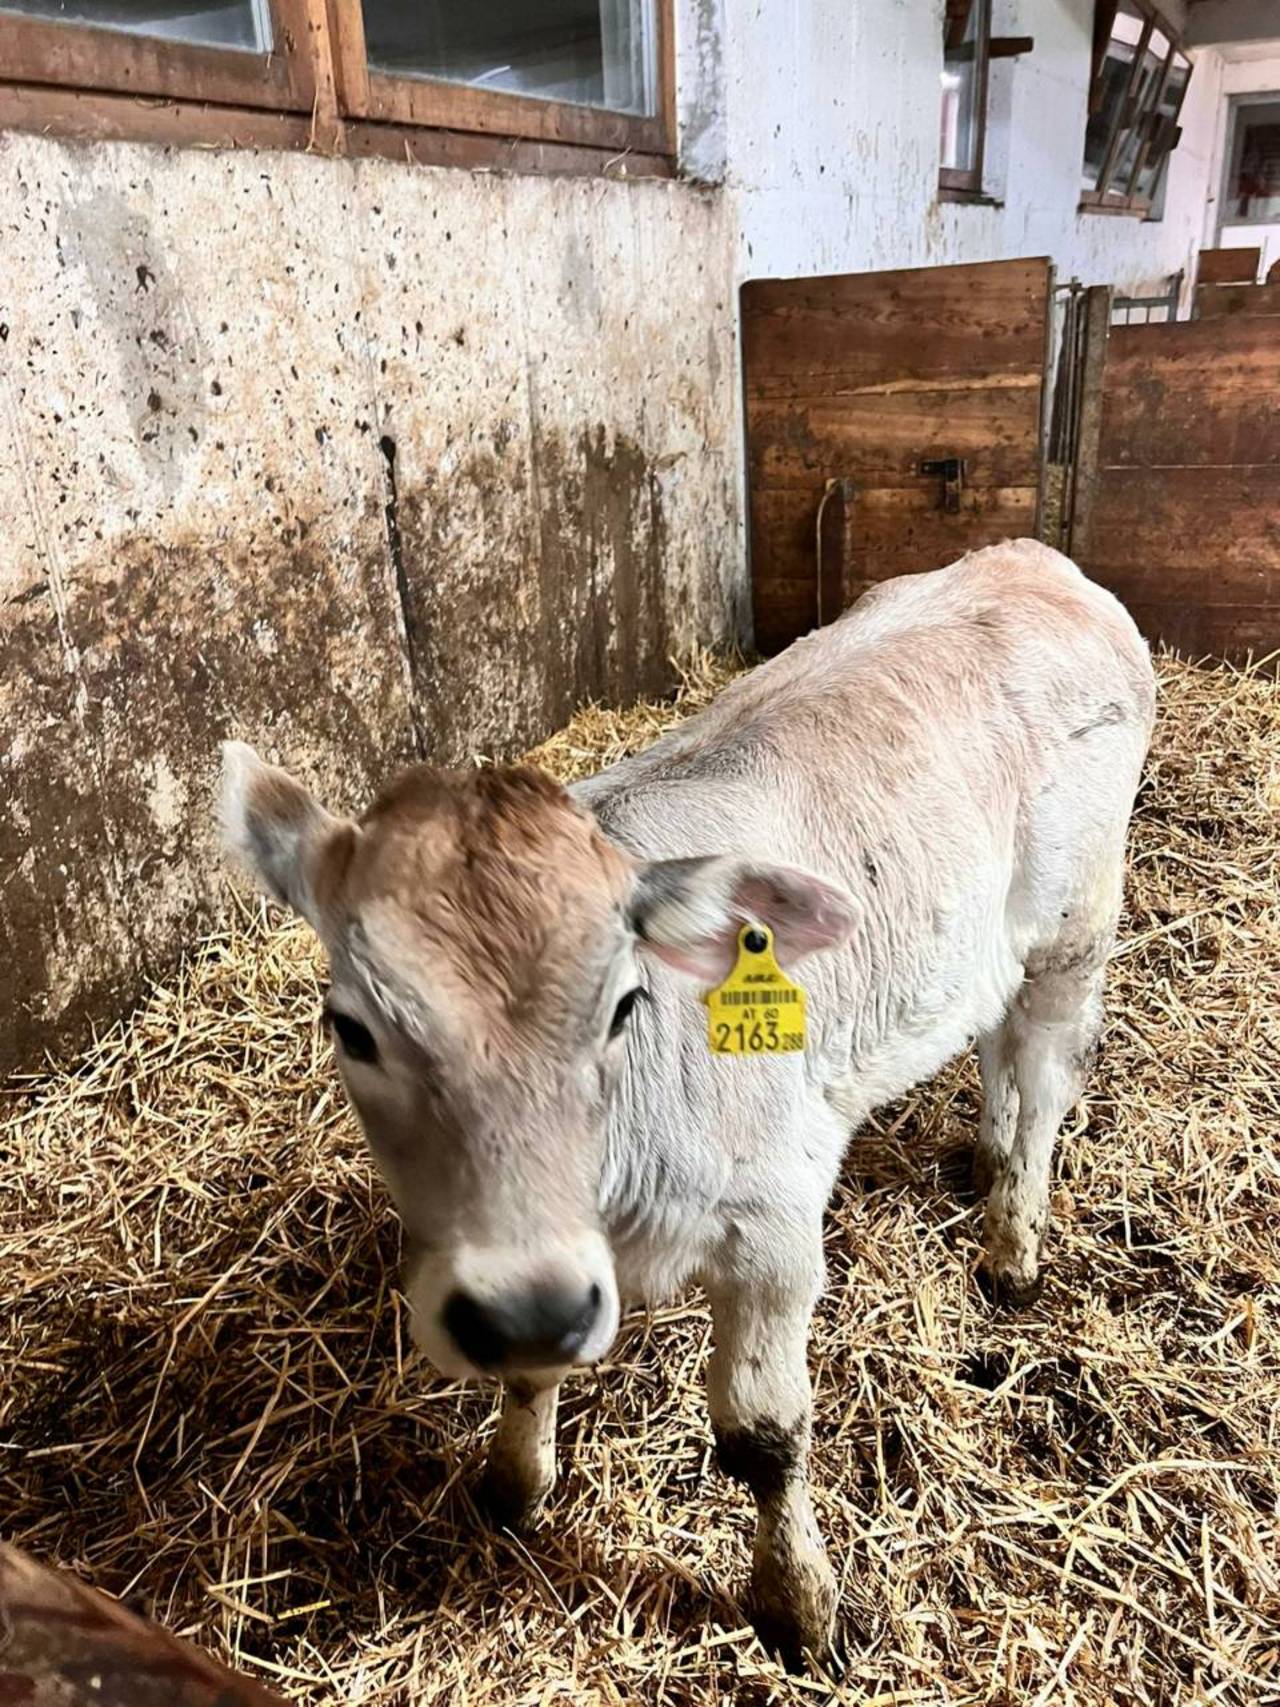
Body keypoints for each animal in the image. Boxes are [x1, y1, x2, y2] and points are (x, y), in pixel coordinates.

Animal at [220, 540, 1154, 1661]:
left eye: (623, 1005)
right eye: (352, 1028)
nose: (527, 1304)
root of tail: (1034, 558)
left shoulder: (775, 1227)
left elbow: (763, 1436)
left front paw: (797, 1605)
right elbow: (529, 1374)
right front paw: (513, 1485)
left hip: (1075, 922)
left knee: (1045, 1067)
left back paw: (1014, 1240)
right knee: (993, 1043)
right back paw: (985, 1153)